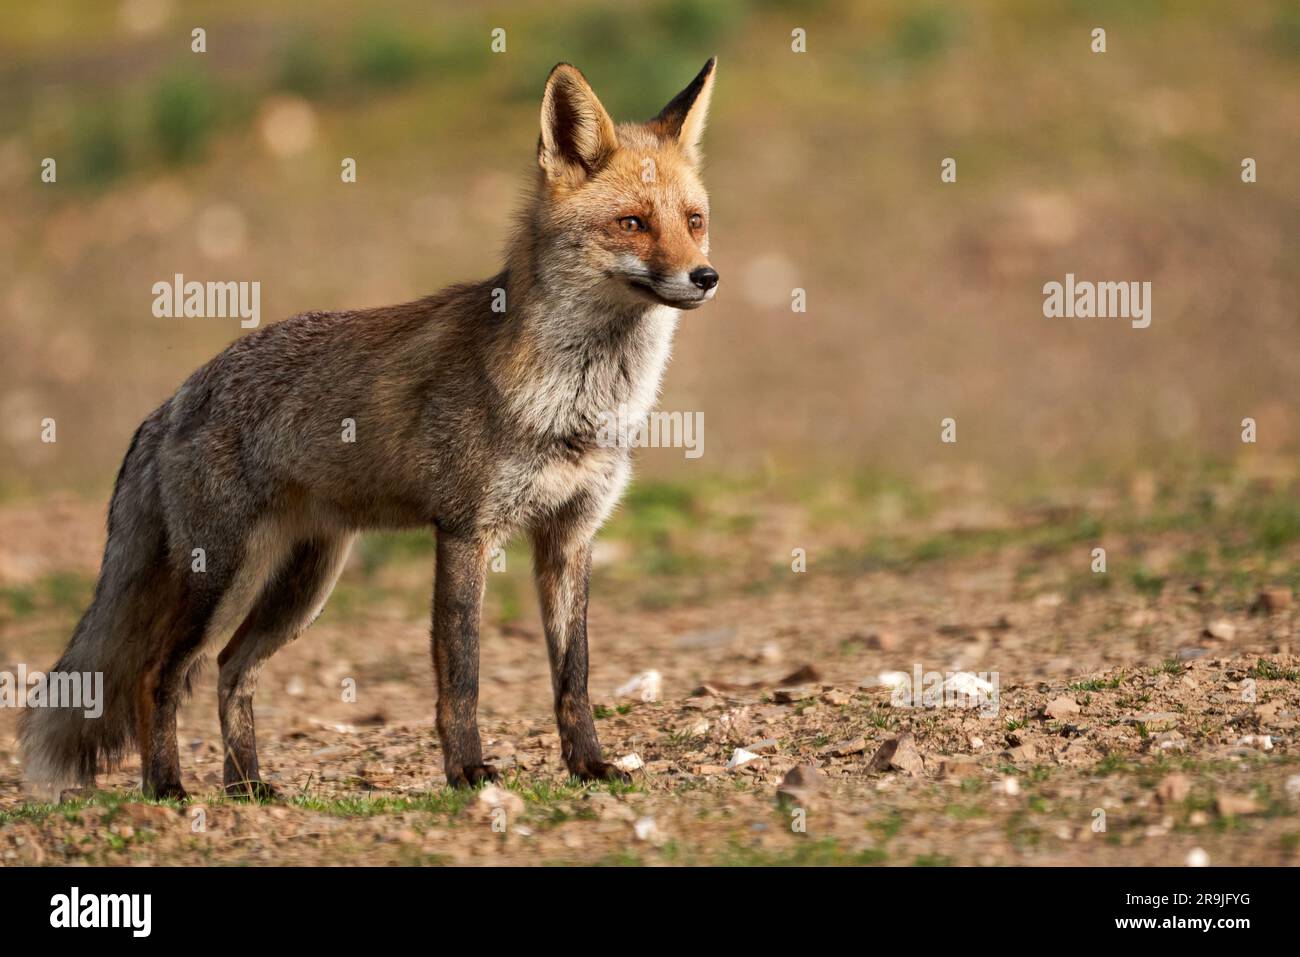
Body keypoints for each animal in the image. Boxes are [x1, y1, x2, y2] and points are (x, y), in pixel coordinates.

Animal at [22, 58, 719, 799]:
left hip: (304, 582)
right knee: (162, 672)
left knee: (232, 667)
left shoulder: (569, 537)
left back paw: (246, 785)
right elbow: (463, 675)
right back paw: (169, 790)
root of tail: (173, 398)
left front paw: (588, 765)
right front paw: (467, 770)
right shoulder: (465, 531)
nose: (705, 276)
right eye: (633, 223)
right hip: (224, 574)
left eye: (694, 221)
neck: (579, 402)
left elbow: (574, 676)